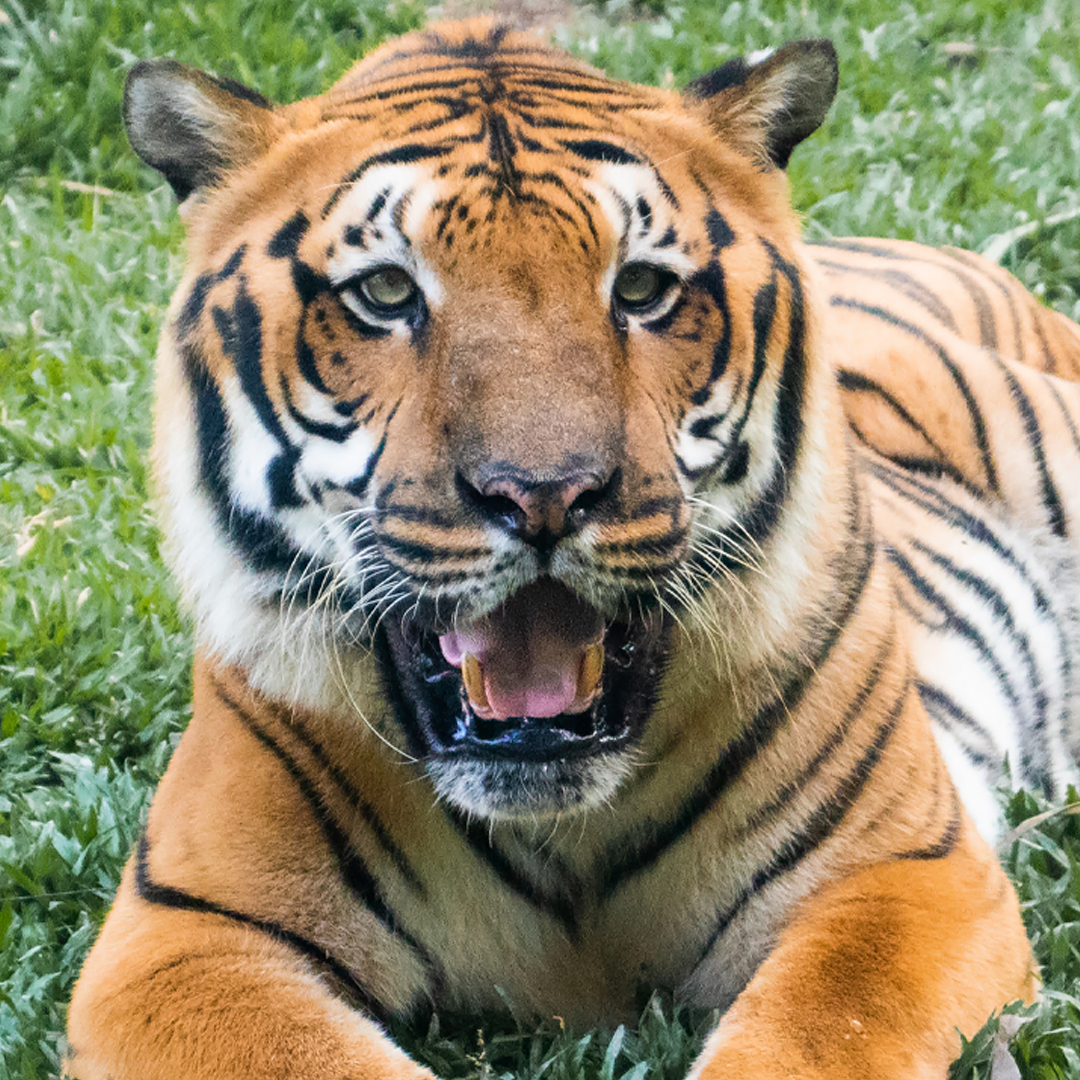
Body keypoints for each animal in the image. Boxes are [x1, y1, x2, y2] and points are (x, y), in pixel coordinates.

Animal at [65, 19, 1080, 1080]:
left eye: (640, 287)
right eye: (385, 291)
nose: (543, 494)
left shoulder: (904, 871)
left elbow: (816, 1034)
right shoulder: (185, 933)